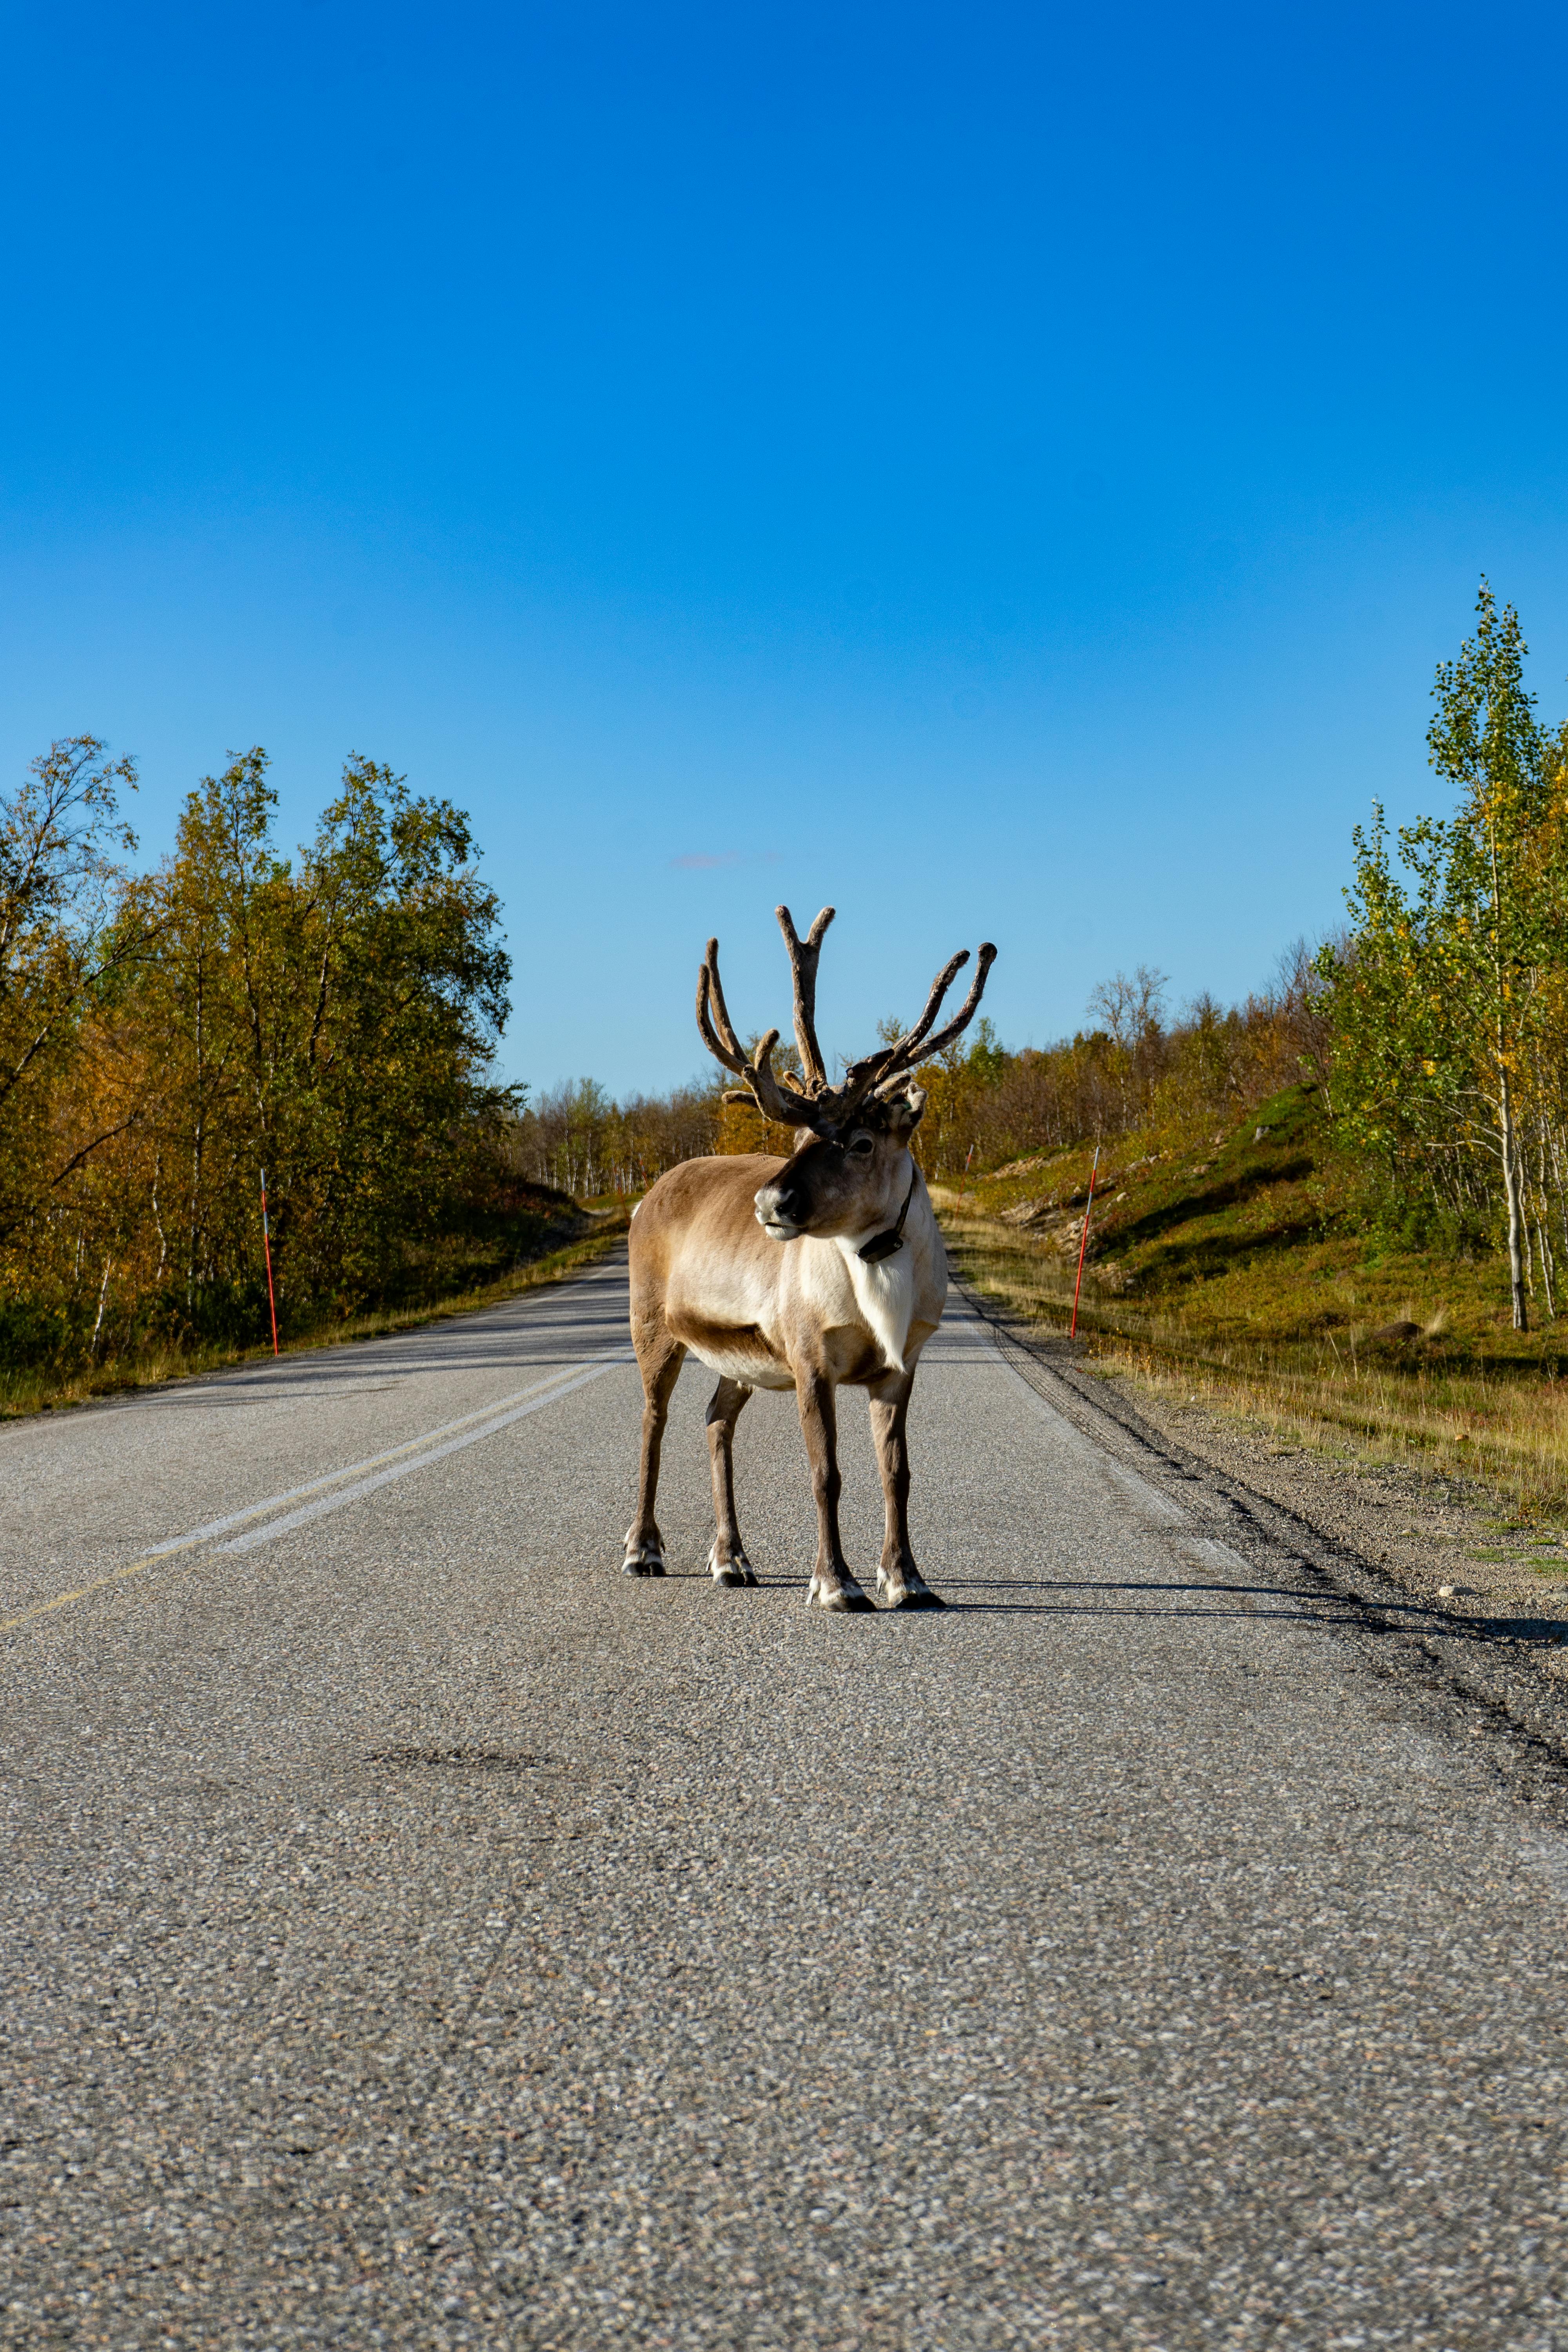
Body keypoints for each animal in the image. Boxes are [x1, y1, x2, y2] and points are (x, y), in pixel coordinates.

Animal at [622, 905, 996, 1611]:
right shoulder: (809, 1355)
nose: (769, 1201)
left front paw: (907, 1578)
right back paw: (643, 1550)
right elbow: (827, 1472)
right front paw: (837, 1583)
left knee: (715, 1421)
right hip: (653, 1327)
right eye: (798, 1138)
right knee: (653, 1423)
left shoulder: (902, 1364)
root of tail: (648, 1193)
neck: (878, 1271)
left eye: (861, 1141)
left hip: (739, 1357)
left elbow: (898, 1473)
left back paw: (731, 1559)